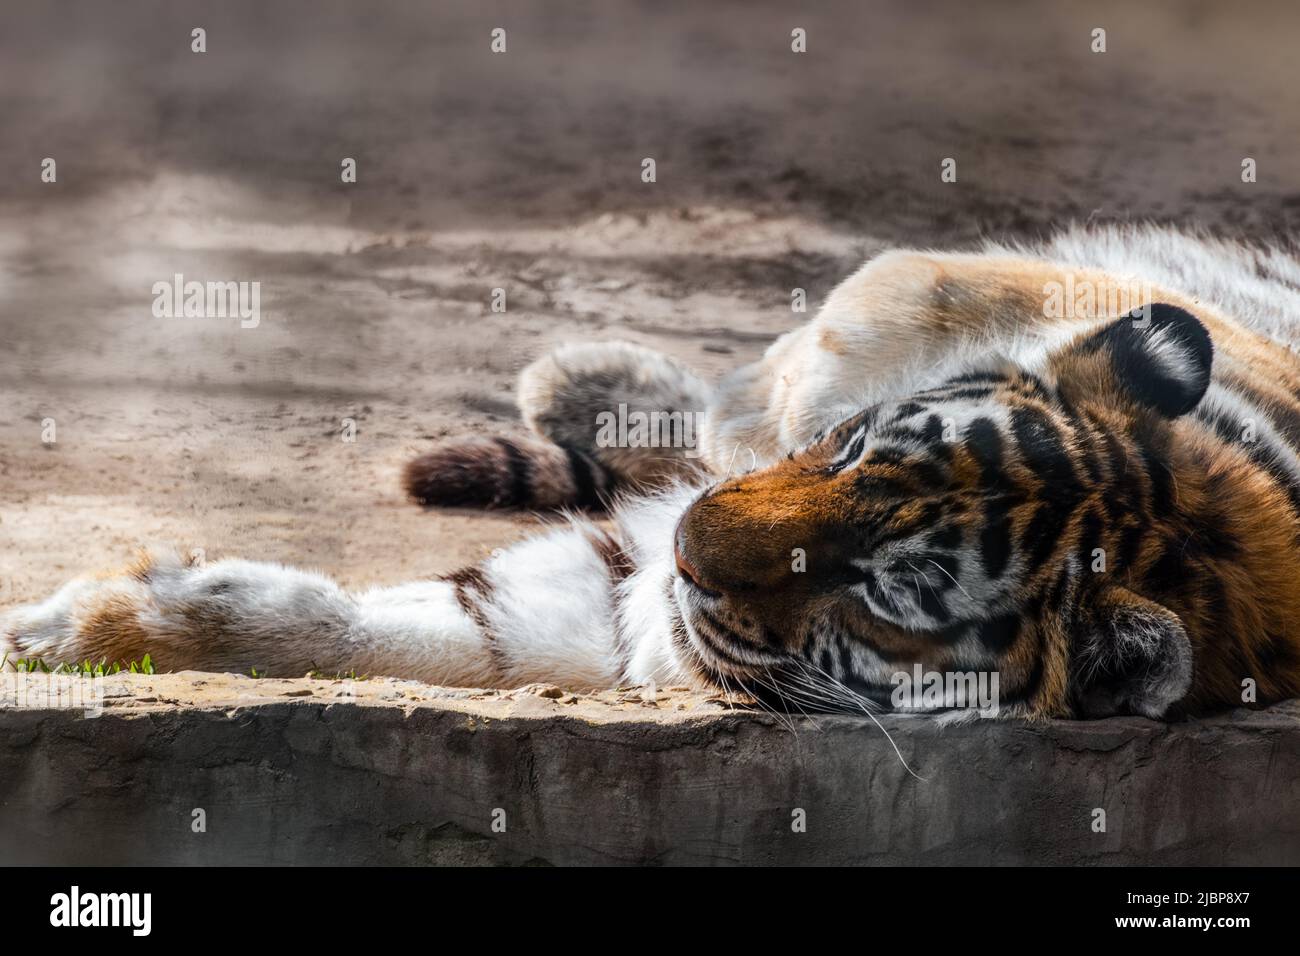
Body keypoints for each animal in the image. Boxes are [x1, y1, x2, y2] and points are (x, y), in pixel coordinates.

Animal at [6, 225, 1300, 720]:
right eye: (851, 454)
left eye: (886, 587)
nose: (684, 552)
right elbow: (347, 618)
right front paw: (75, 627)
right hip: (898, 296)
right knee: (742, 396)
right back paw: (579, 382)